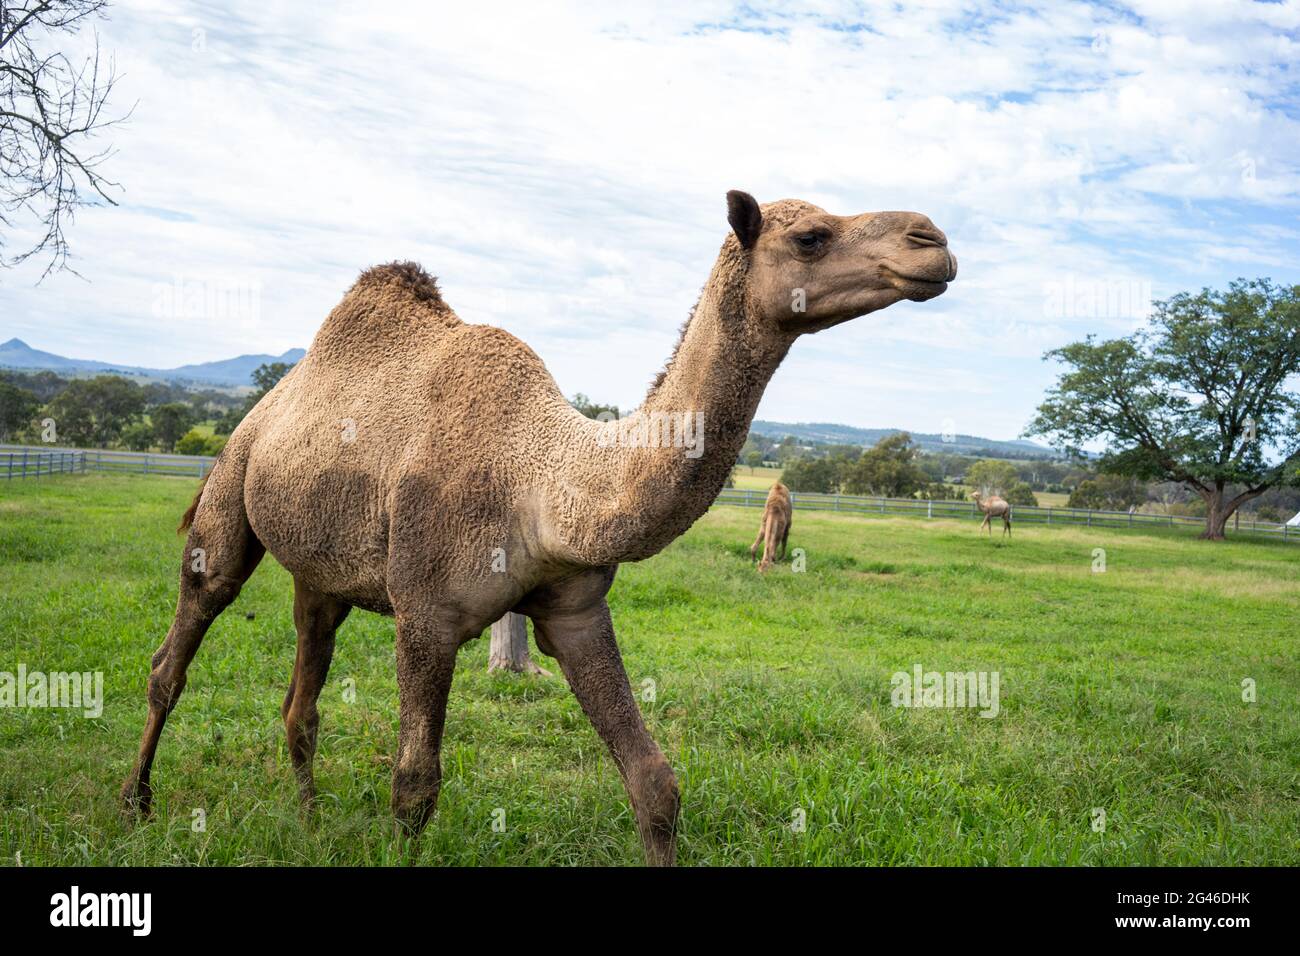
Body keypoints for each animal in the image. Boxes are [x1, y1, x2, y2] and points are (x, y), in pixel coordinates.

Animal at [120, 190, 956, 865]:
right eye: (811, 236)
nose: (933, 240)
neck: (545, 480)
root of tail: (264, 408)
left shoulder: (575, 608)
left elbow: (655, 782)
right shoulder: (425, 614)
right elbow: (414, 787)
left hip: (321, 570)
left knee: (302, 700)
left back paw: (310, 822)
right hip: (230, 492)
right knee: (178, 647)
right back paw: (136, 803)